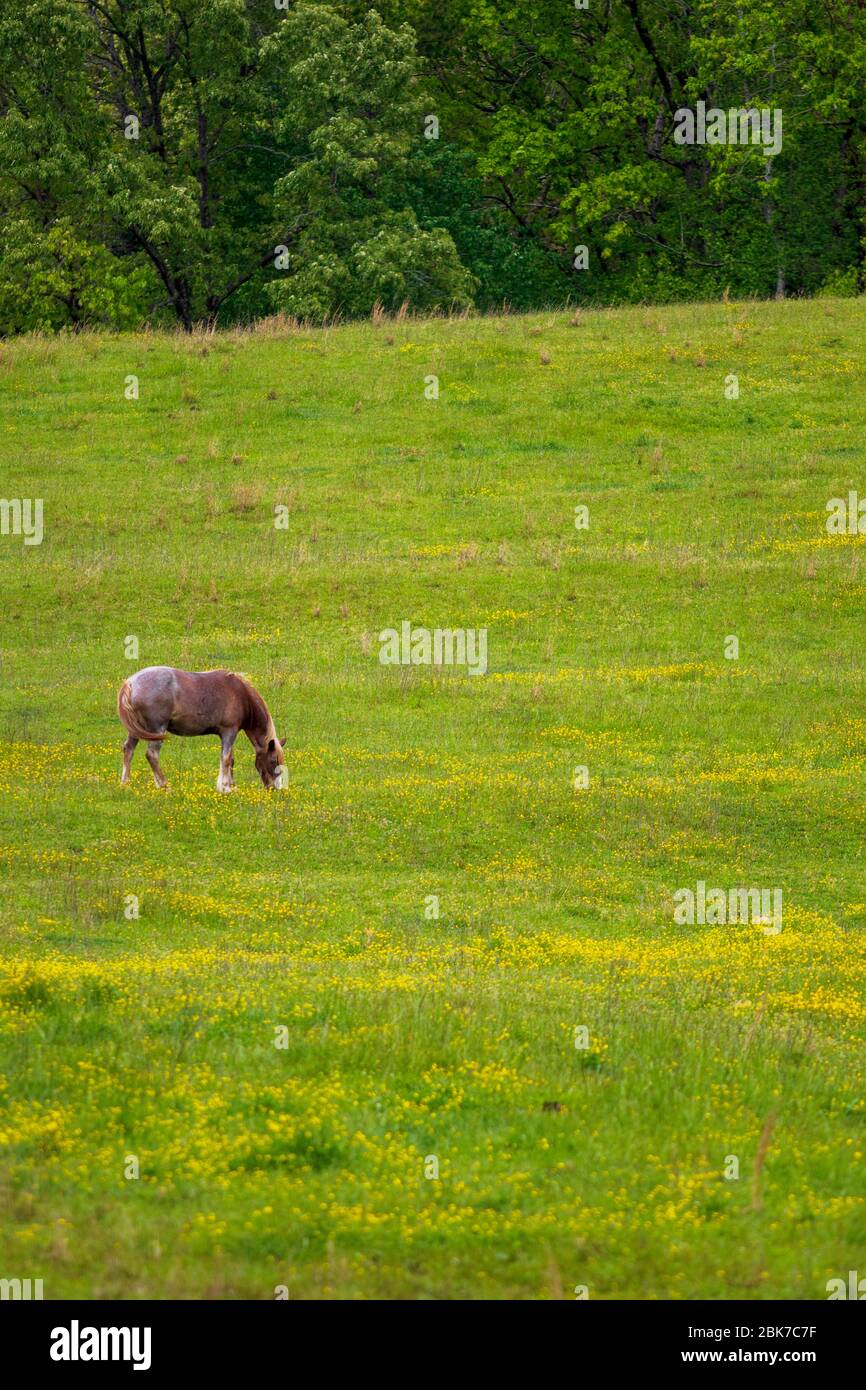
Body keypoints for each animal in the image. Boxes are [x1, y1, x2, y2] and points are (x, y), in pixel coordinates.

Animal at [117, 667, 286, 792]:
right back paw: (165, 786)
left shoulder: (227, 734)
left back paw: (125, 784)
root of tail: (131, 682)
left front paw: (232, 786)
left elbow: (230, 759)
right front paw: (225, 788)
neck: (240, 694)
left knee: (129, 750)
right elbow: (226, 759)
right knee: (152, 755)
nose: (273, 789)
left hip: (135, 730)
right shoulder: (229, 732)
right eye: (273, 760)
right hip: (157, 729)